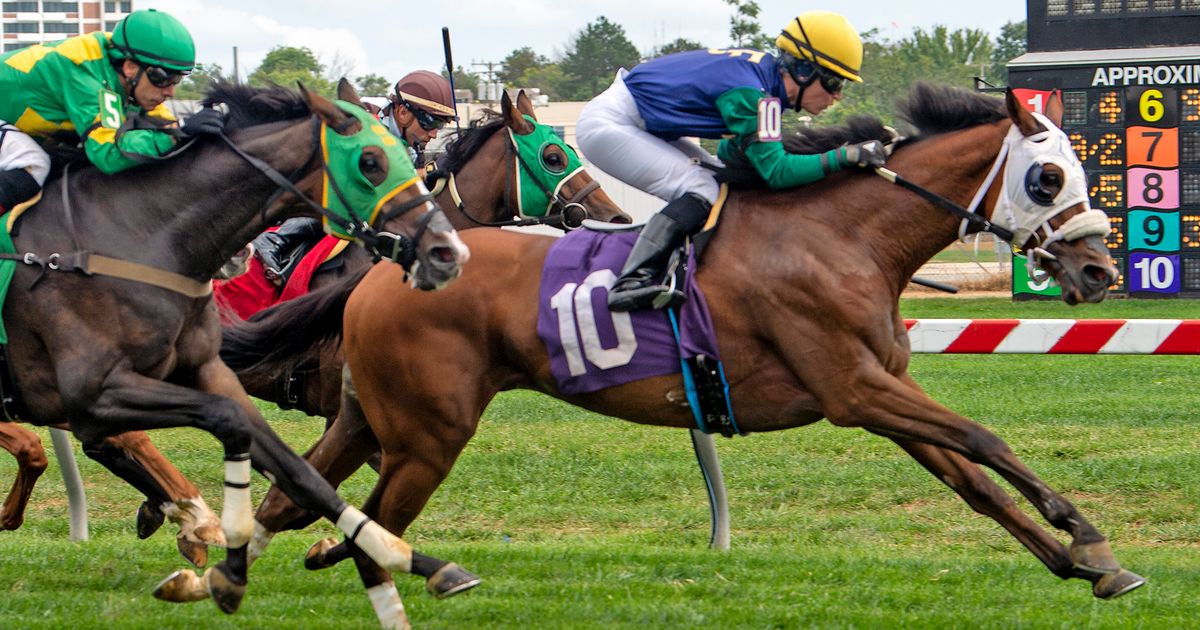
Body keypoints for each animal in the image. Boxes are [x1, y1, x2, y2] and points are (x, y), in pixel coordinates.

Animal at [0, 79, 471, 619]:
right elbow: (248, 439)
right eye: (369, 162)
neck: (132, 236)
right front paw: (233, 558)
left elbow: (300, 473)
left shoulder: (208, 372)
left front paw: (415, 561)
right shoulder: (94, 392)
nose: (446, 252)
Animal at [226, 84, 1145, 620]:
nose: (1101, 271)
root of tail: (391, 266)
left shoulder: (881, 393)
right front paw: (1092, 540)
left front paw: (1083, 566)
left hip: (369, 419)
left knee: (298, 498)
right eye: (1048, 179)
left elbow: (976, 484)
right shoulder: (854, 390)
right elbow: (988, 441)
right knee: (367, 523)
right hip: (427, 434)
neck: (843, 236)